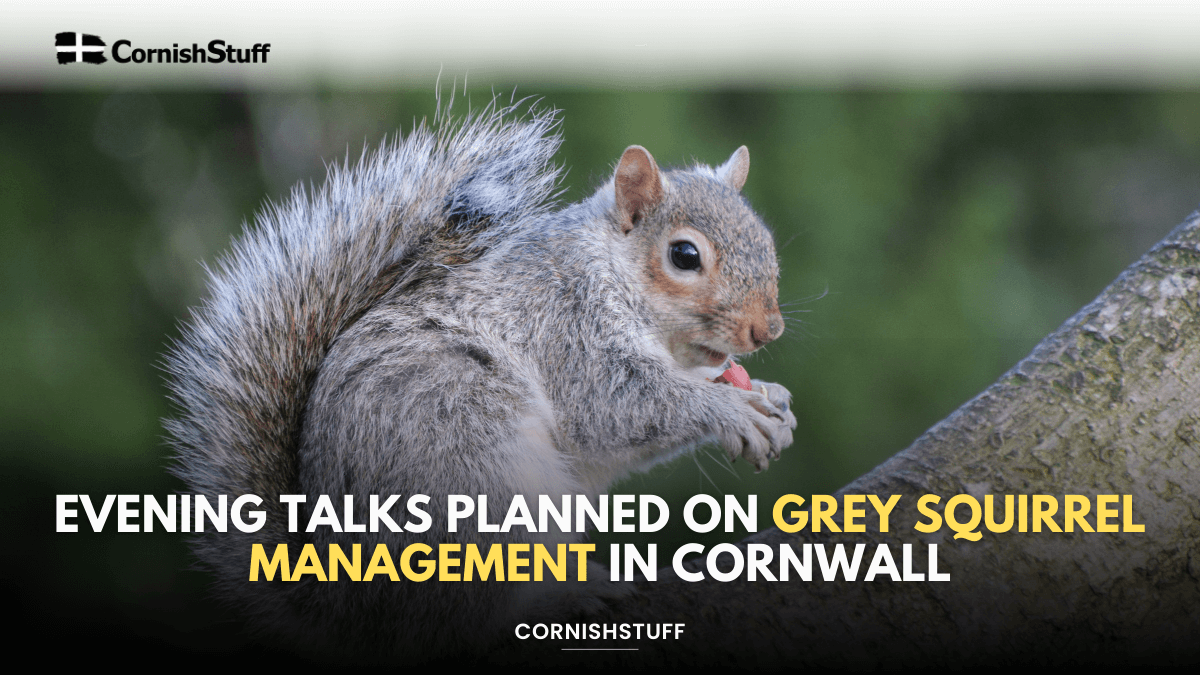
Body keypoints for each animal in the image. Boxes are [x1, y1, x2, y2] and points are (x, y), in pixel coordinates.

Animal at [165, 101, 796, 661]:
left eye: (767, 240)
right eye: (684, 255)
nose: (767, 330)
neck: (609, 270)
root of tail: (355, 619)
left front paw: (770, 398)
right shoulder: (567, 330)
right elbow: (617, 410)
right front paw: (731, 411)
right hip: (471, 466)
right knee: (466, 617)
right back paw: (564, 596)